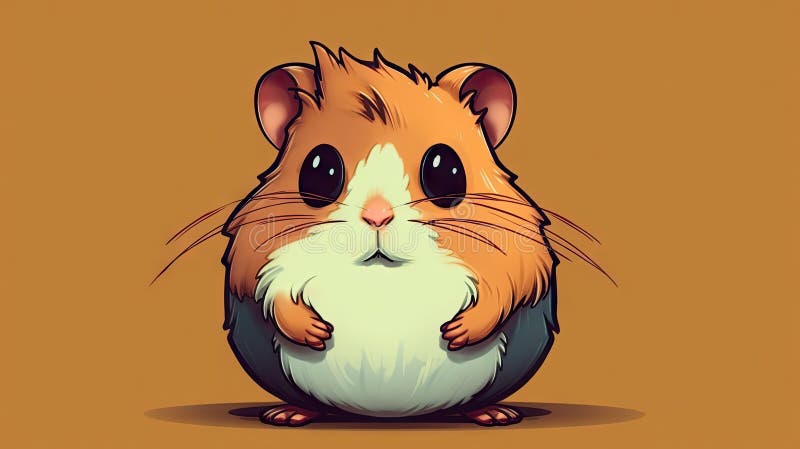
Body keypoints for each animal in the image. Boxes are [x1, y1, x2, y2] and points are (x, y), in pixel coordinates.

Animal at [221, 42, 559, 426]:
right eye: (319, 169)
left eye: (446, 169)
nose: (377, 216)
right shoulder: (257, 250)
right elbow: (269, 287)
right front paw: (313, 331)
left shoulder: (518, 249)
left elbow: (509, 284)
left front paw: (460, 331)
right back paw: (288, 413)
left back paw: (495, 413)